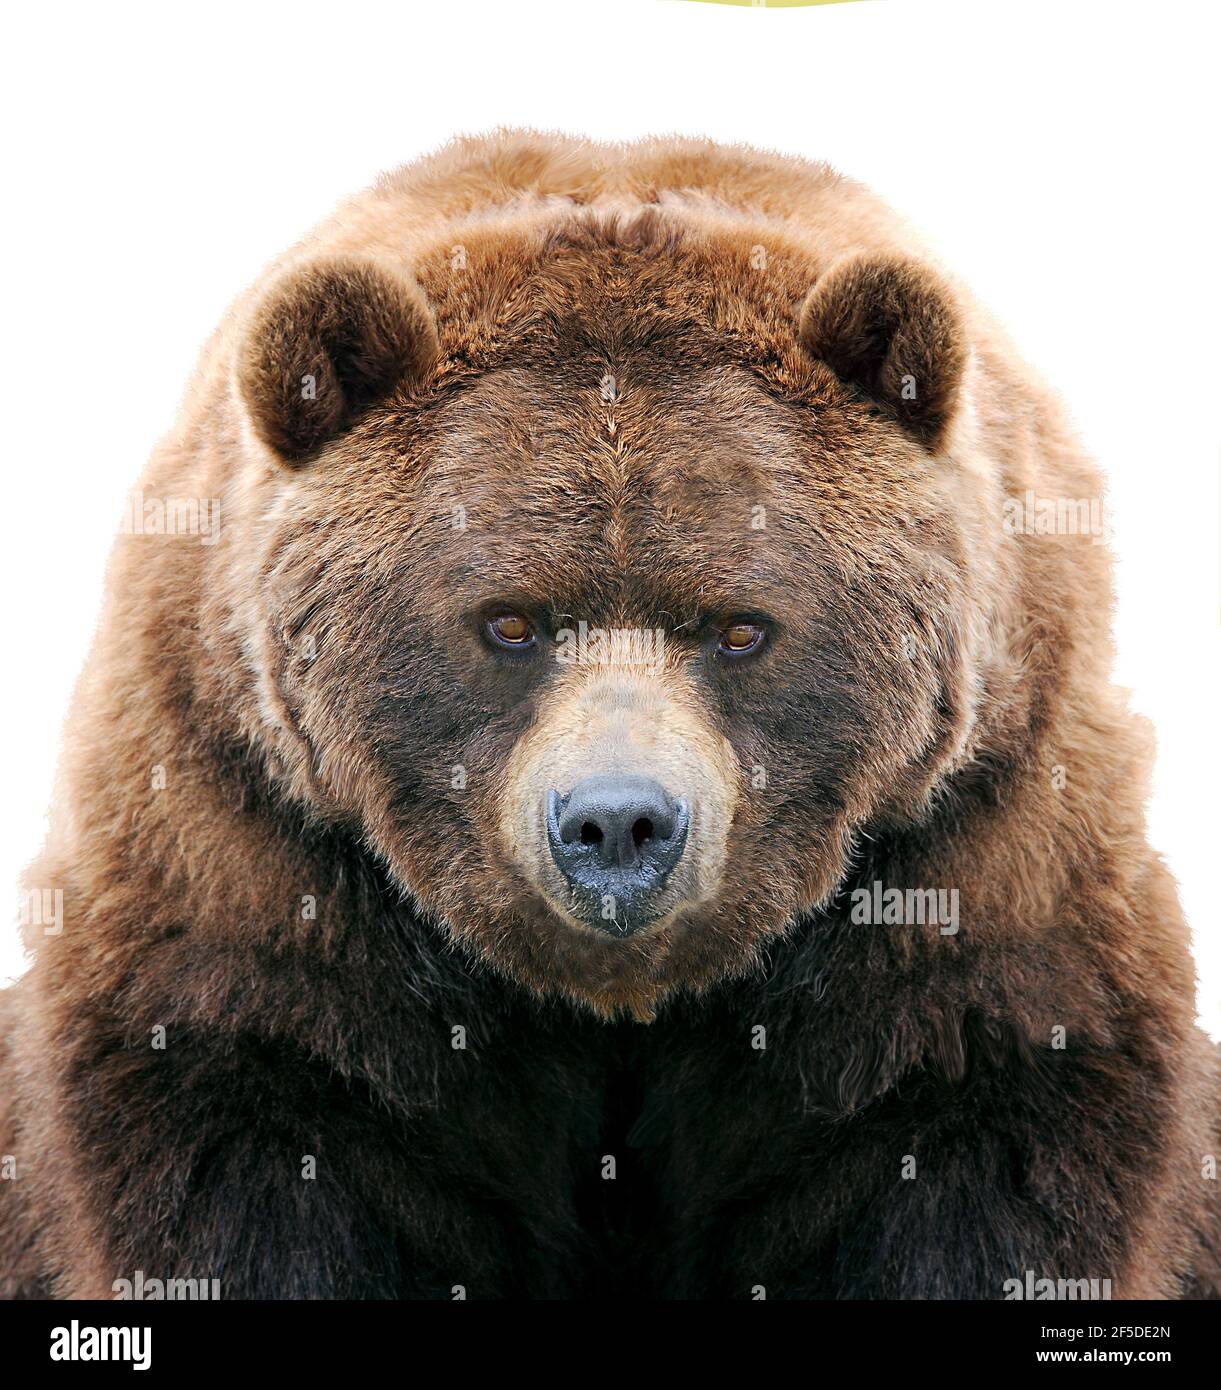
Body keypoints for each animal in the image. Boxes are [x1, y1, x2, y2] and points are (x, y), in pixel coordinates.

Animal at [1, 129, 1218, 1300]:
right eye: (508, 620)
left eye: (740, 625)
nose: (619, 825)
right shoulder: (253, 871)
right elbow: (256, 1165)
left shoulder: (974, 867)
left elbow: (973, 1164)